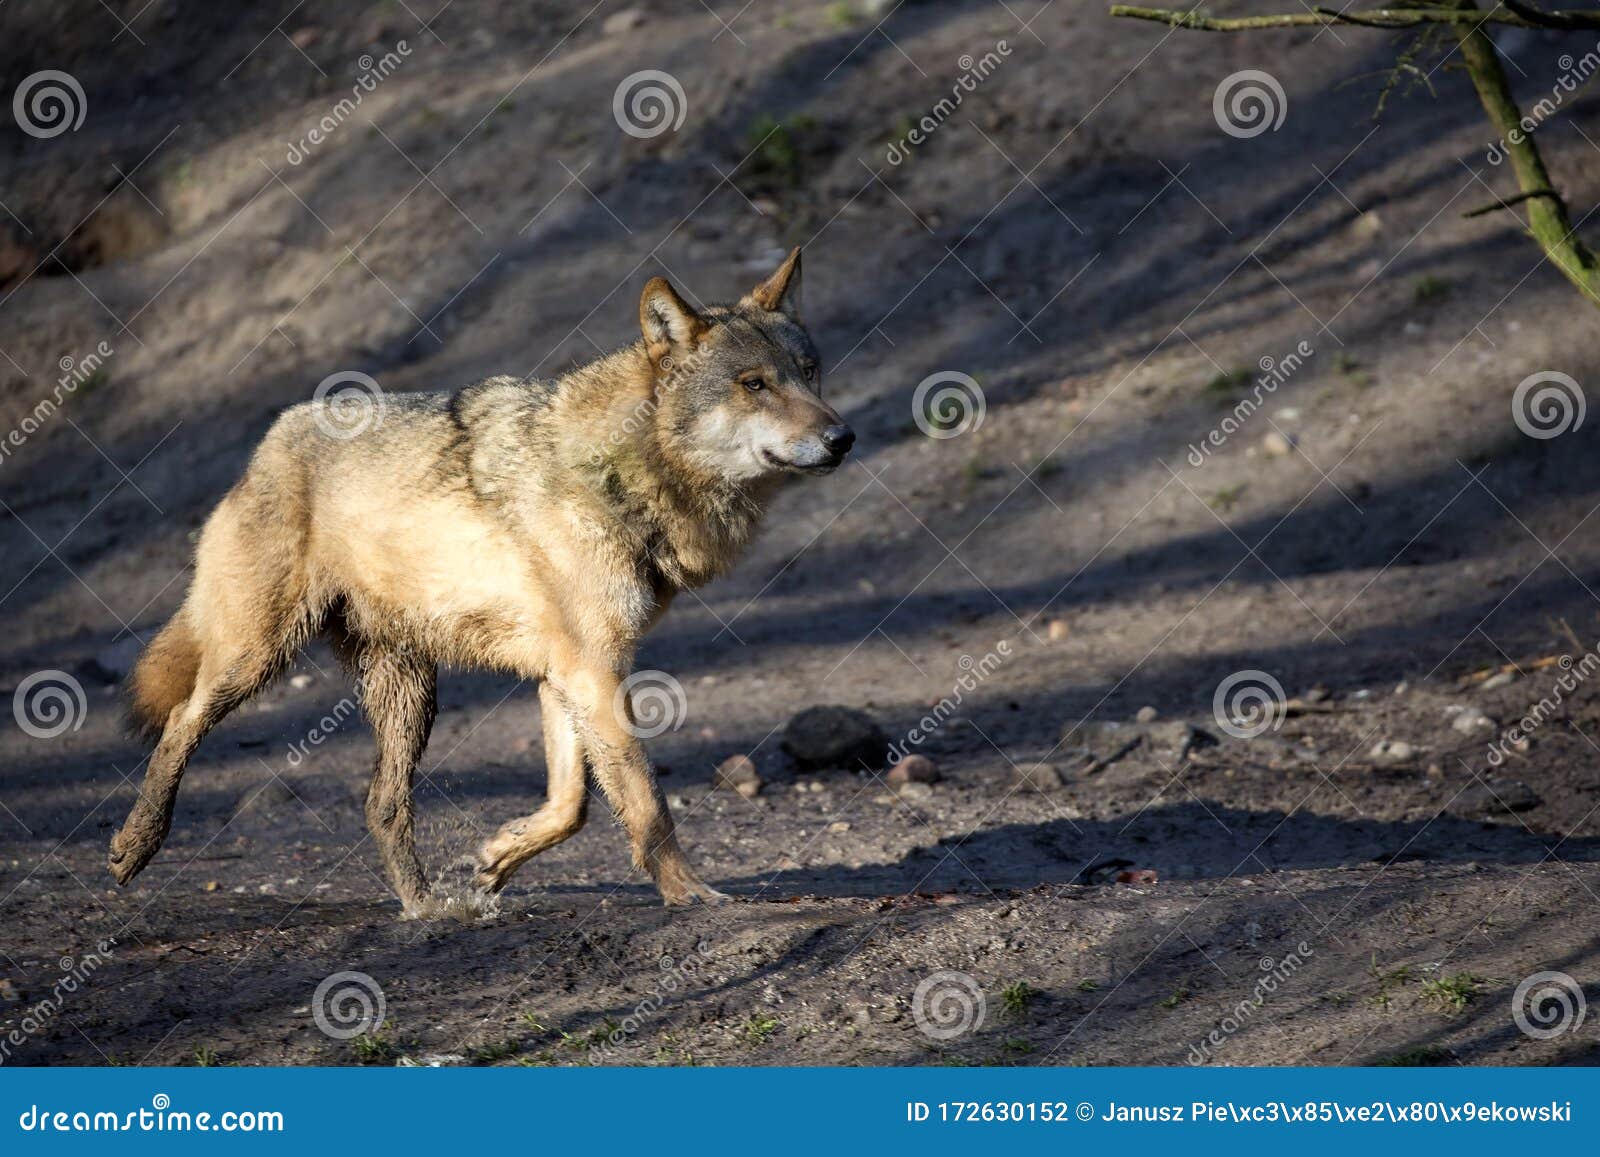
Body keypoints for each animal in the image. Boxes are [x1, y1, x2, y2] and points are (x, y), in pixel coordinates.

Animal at [111, 247, 853, 912]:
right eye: (754, 384)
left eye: (810, 373)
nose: (843, 438)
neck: (621, 476)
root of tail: (269, 441)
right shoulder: (592, 670)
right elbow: (647, 805)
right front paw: (690, 894)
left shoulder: (567, 673)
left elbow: (573, 804)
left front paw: (498, 859)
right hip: (255, 658)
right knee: (178, 722)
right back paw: (134, 845)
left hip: (410, 695)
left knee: (381, 803)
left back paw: (427, 910)